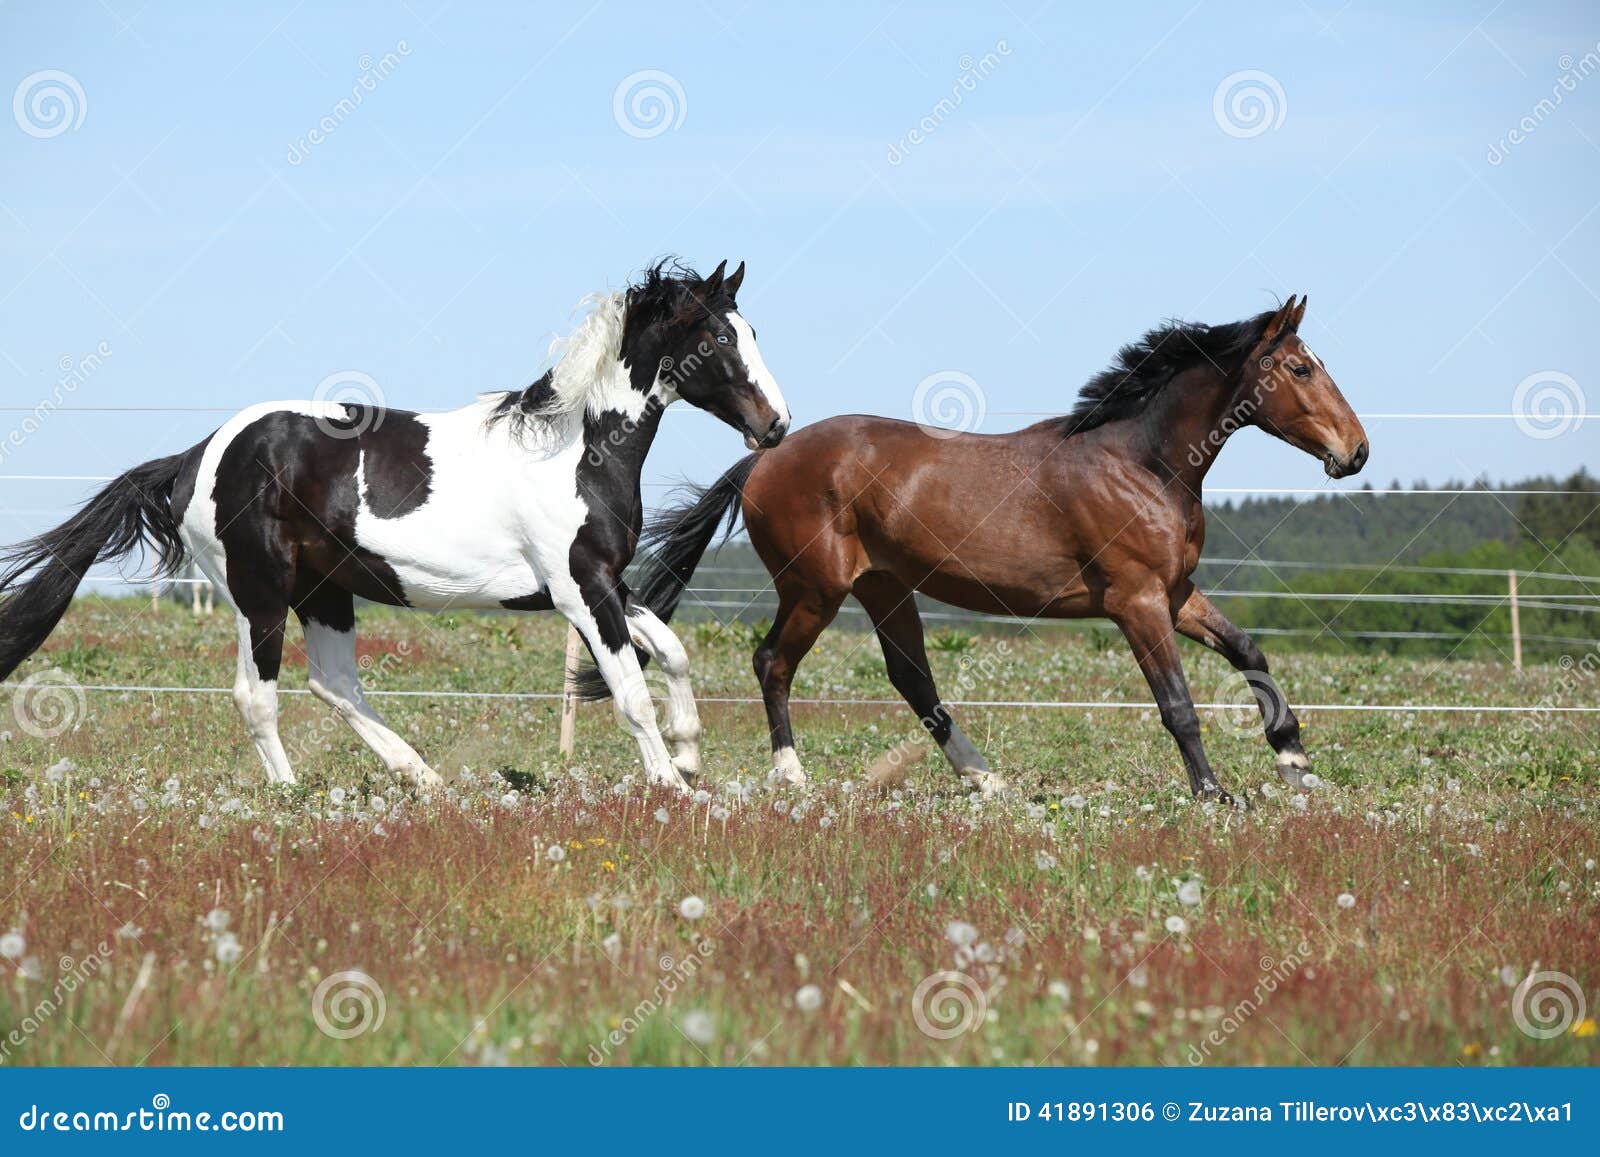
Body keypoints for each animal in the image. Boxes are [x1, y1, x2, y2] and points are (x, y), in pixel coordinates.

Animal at [0, 259, 788, 793]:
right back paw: (291, 792)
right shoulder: (579, 589)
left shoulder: (606, 581)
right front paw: (671, 782)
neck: (573, 449)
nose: (776, 426)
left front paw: (689, 753)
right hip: (260, 593)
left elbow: (673, 651)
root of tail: (196, 456)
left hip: (324, 591)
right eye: (721, 337)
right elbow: (628, 687)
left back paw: (424, 777)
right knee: (259, 695)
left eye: (752, 330)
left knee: (334, 683)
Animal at [602, 296, 1366, 804]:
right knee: (773, 662)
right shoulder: (1138, 601)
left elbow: (1249, 653)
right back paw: (791, 774)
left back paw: (985, 777)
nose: (1356, 451)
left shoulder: (1176, 594)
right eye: (1301, 369)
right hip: (816, 588)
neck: (1141, 462)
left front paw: (1295, 761)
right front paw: (1213, 793)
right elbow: (1176, 701)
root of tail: (764, 459)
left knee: (913, 680)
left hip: (885, 587)